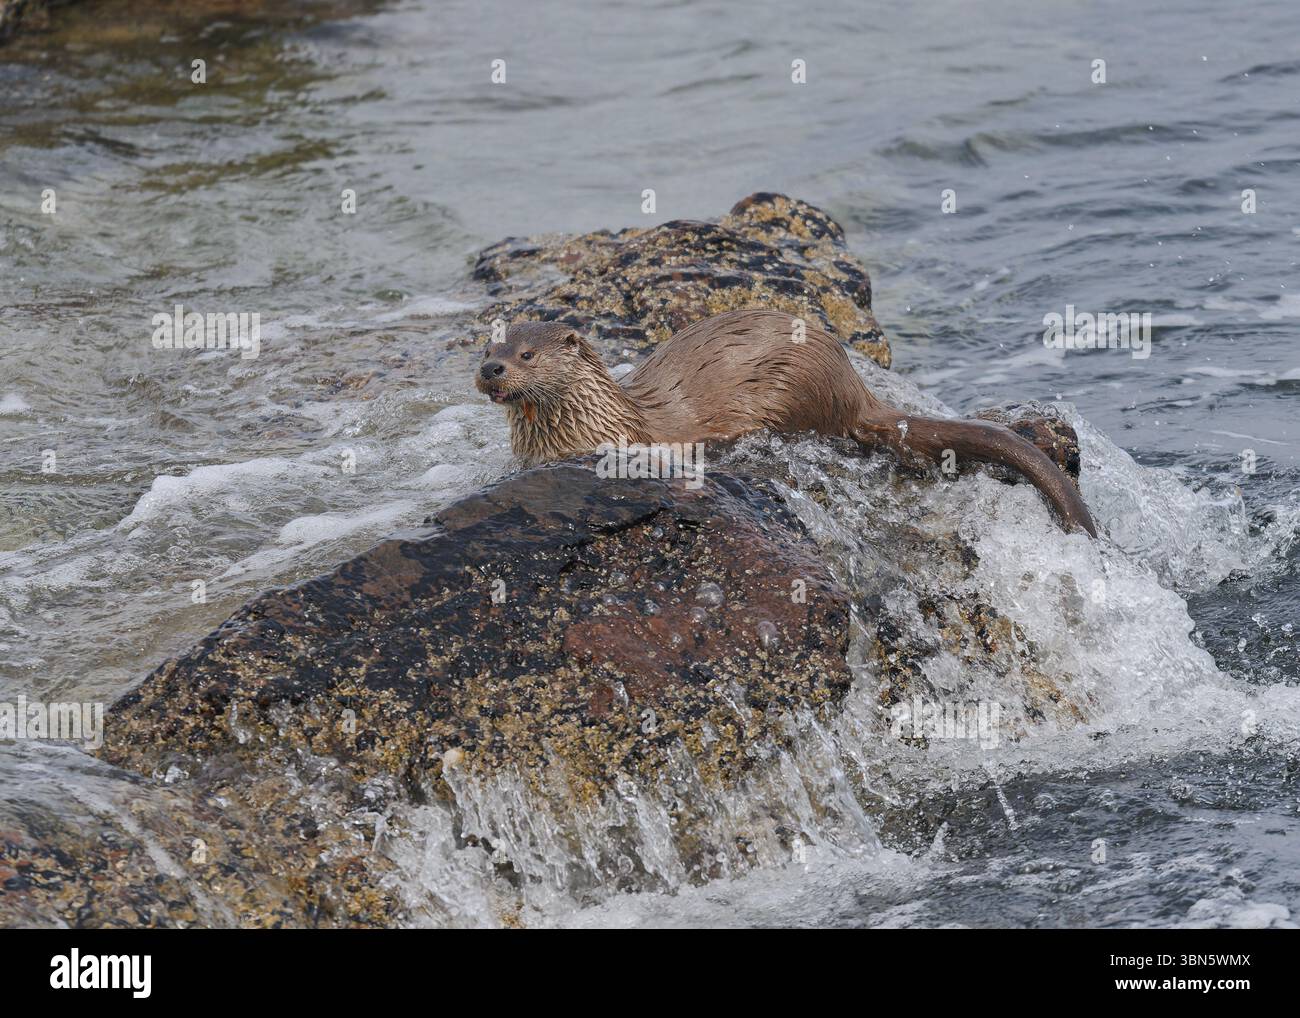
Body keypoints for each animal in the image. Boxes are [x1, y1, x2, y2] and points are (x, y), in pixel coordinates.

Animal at [476, 309, 1096, 536]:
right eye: (489, 345)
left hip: (794, 391)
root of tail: (850, 385)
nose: (490, 369)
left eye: (526, 355)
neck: (597, 421)